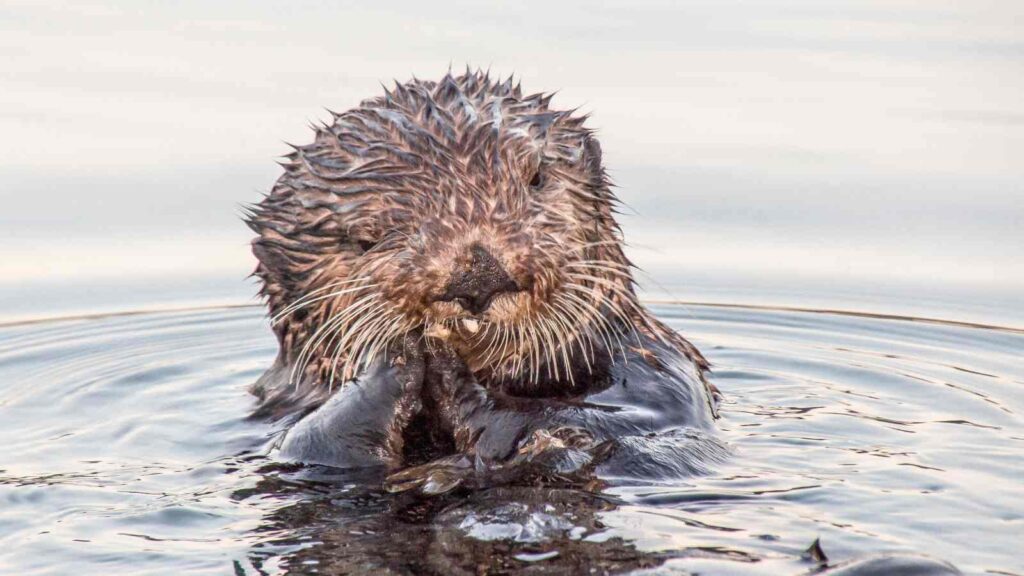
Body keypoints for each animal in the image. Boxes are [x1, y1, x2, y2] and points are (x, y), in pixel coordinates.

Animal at [245, 70, 722, 493]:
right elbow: (312, 442)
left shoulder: (661, 367)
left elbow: (632, 418)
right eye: (367, 238)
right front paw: (400, 357)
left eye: (536, 177)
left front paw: (449, 374)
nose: (478, 275)